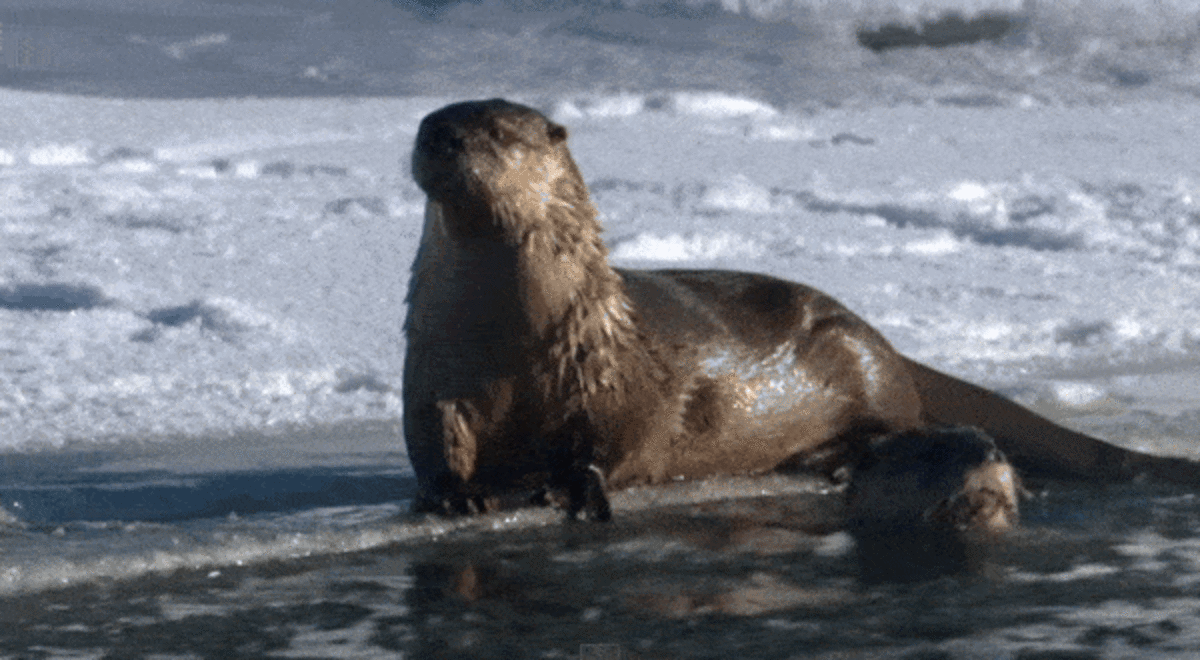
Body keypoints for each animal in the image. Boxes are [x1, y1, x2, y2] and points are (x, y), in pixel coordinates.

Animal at [404, 98, 1199, 521]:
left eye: (499, 131)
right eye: (430, 121)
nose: (441, 134)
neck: (512, 340)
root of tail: (885, 340)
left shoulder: (605, 376)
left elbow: (613, 441)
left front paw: (571, 486)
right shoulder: (433, 372)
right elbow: (433, 443)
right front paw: (455, 496)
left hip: (858, 362)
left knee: (900, 422)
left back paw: (833, 458)